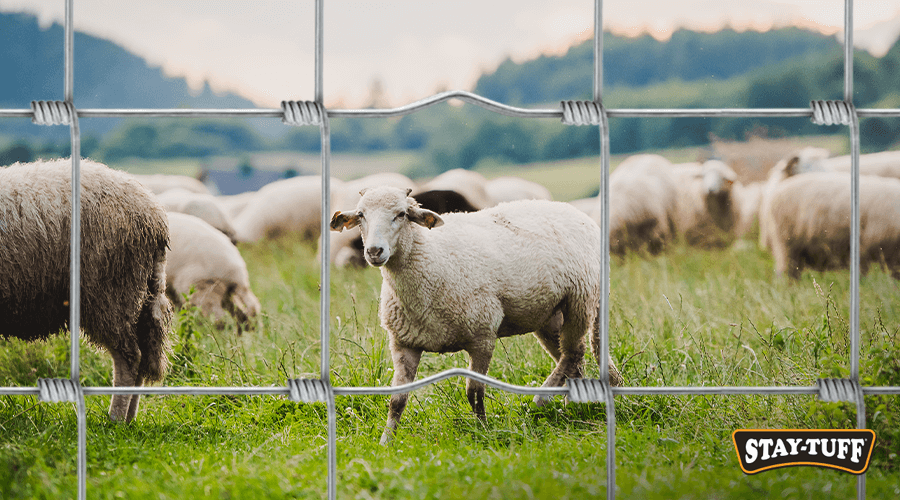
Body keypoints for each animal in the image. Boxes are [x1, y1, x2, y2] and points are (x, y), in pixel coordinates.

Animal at [0, 158, 172, 423]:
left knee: (130, 358)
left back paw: (115, 419)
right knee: (143, 356)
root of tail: (154, 215)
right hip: (140, 292)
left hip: (111, 291)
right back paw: (130, 418)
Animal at [330, 186, 623, 444]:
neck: (428, 258)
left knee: (573, 353)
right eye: (361, 215)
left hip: (580, 301)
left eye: (401, 214)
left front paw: (484, 431)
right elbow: (396, 400)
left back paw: (541, 400)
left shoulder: (482, 336)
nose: (374, 251)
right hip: (548, 314)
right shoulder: (404, 343)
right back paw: (575, 404)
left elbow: (474, 392)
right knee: (573, 356)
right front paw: (386, 442)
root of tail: (576, 212)